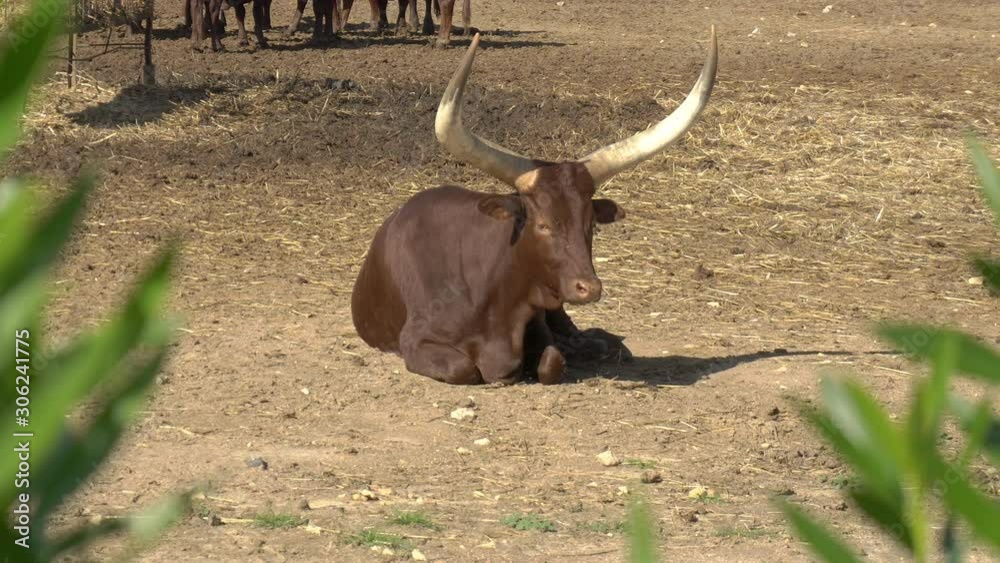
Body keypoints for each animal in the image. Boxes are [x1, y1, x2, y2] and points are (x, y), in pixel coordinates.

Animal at [350, 28, 719, 385]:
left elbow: (552, 361)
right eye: (542, 224)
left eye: (590, 224)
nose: (588, 288)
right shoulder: (416, 341)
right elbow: (463, 368)